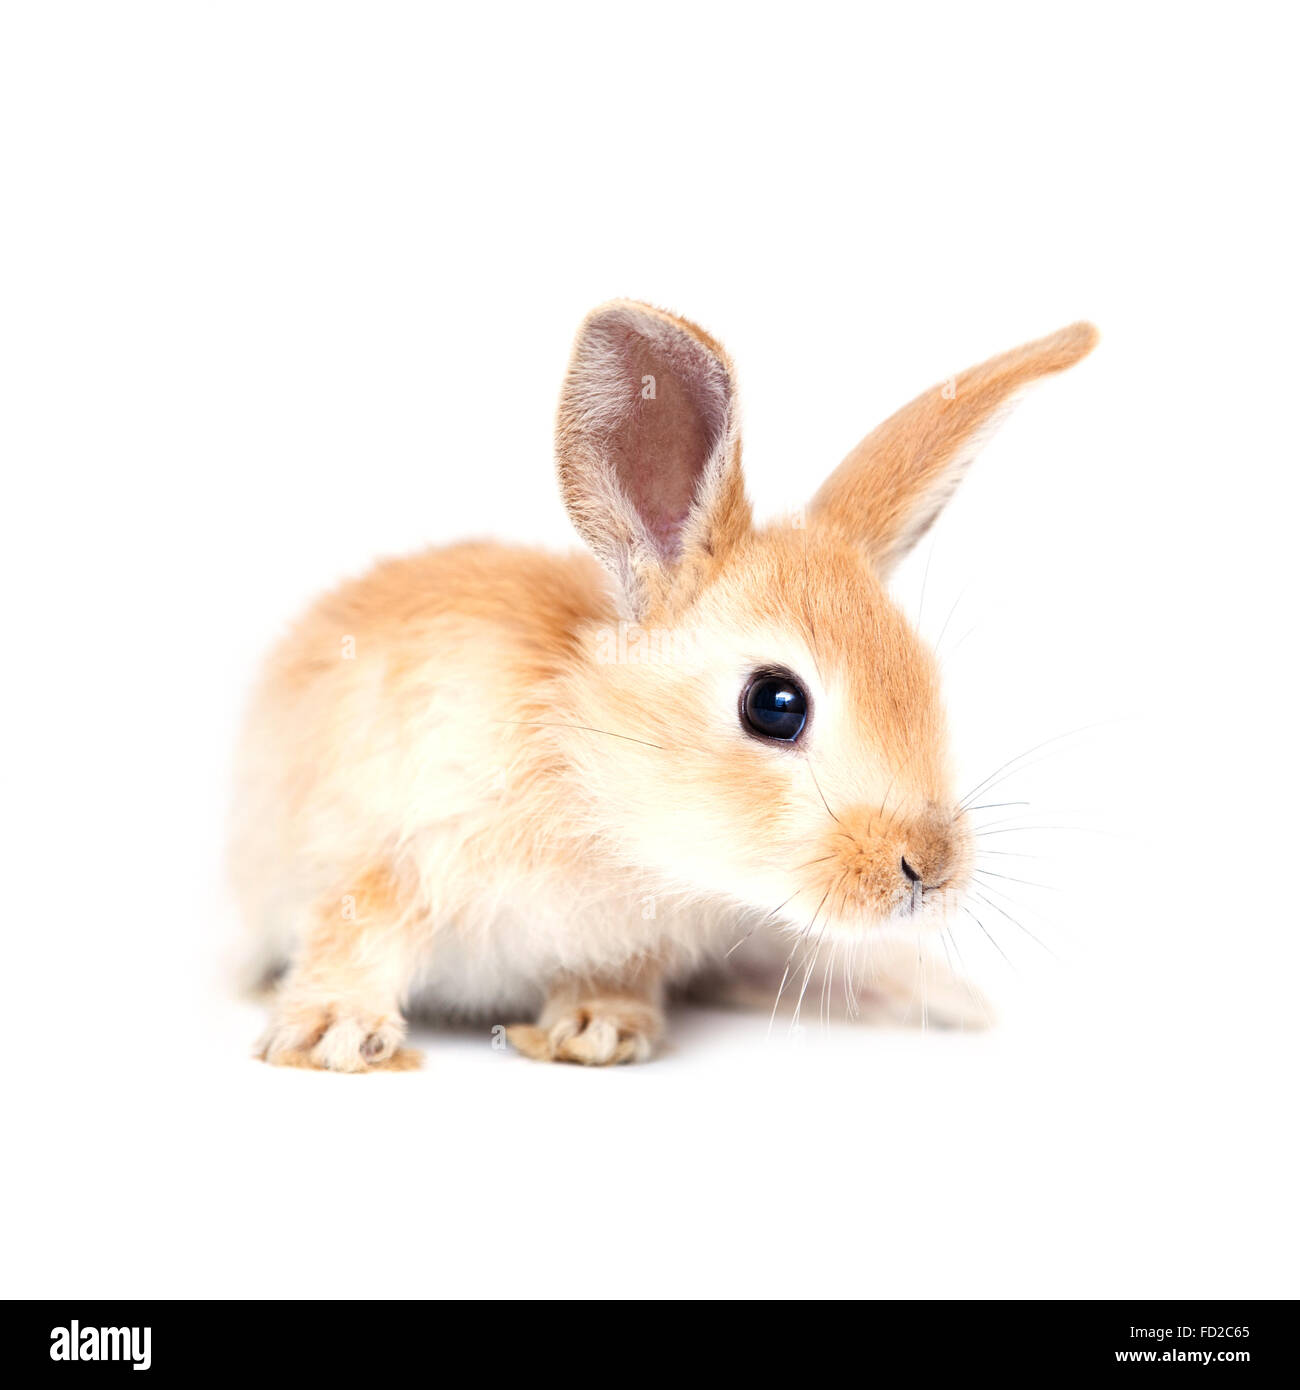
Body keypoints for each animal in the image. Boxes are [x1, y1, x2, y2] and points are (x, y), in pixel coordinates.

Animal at [230, 300, 1097, 1070]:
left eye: (927, 675)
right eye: (775, 705)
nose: (931, 869)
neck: (601, 789)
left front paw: (600, 1030)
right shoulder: (394, 853)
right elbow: (361, 932)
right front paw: (333, 1034)